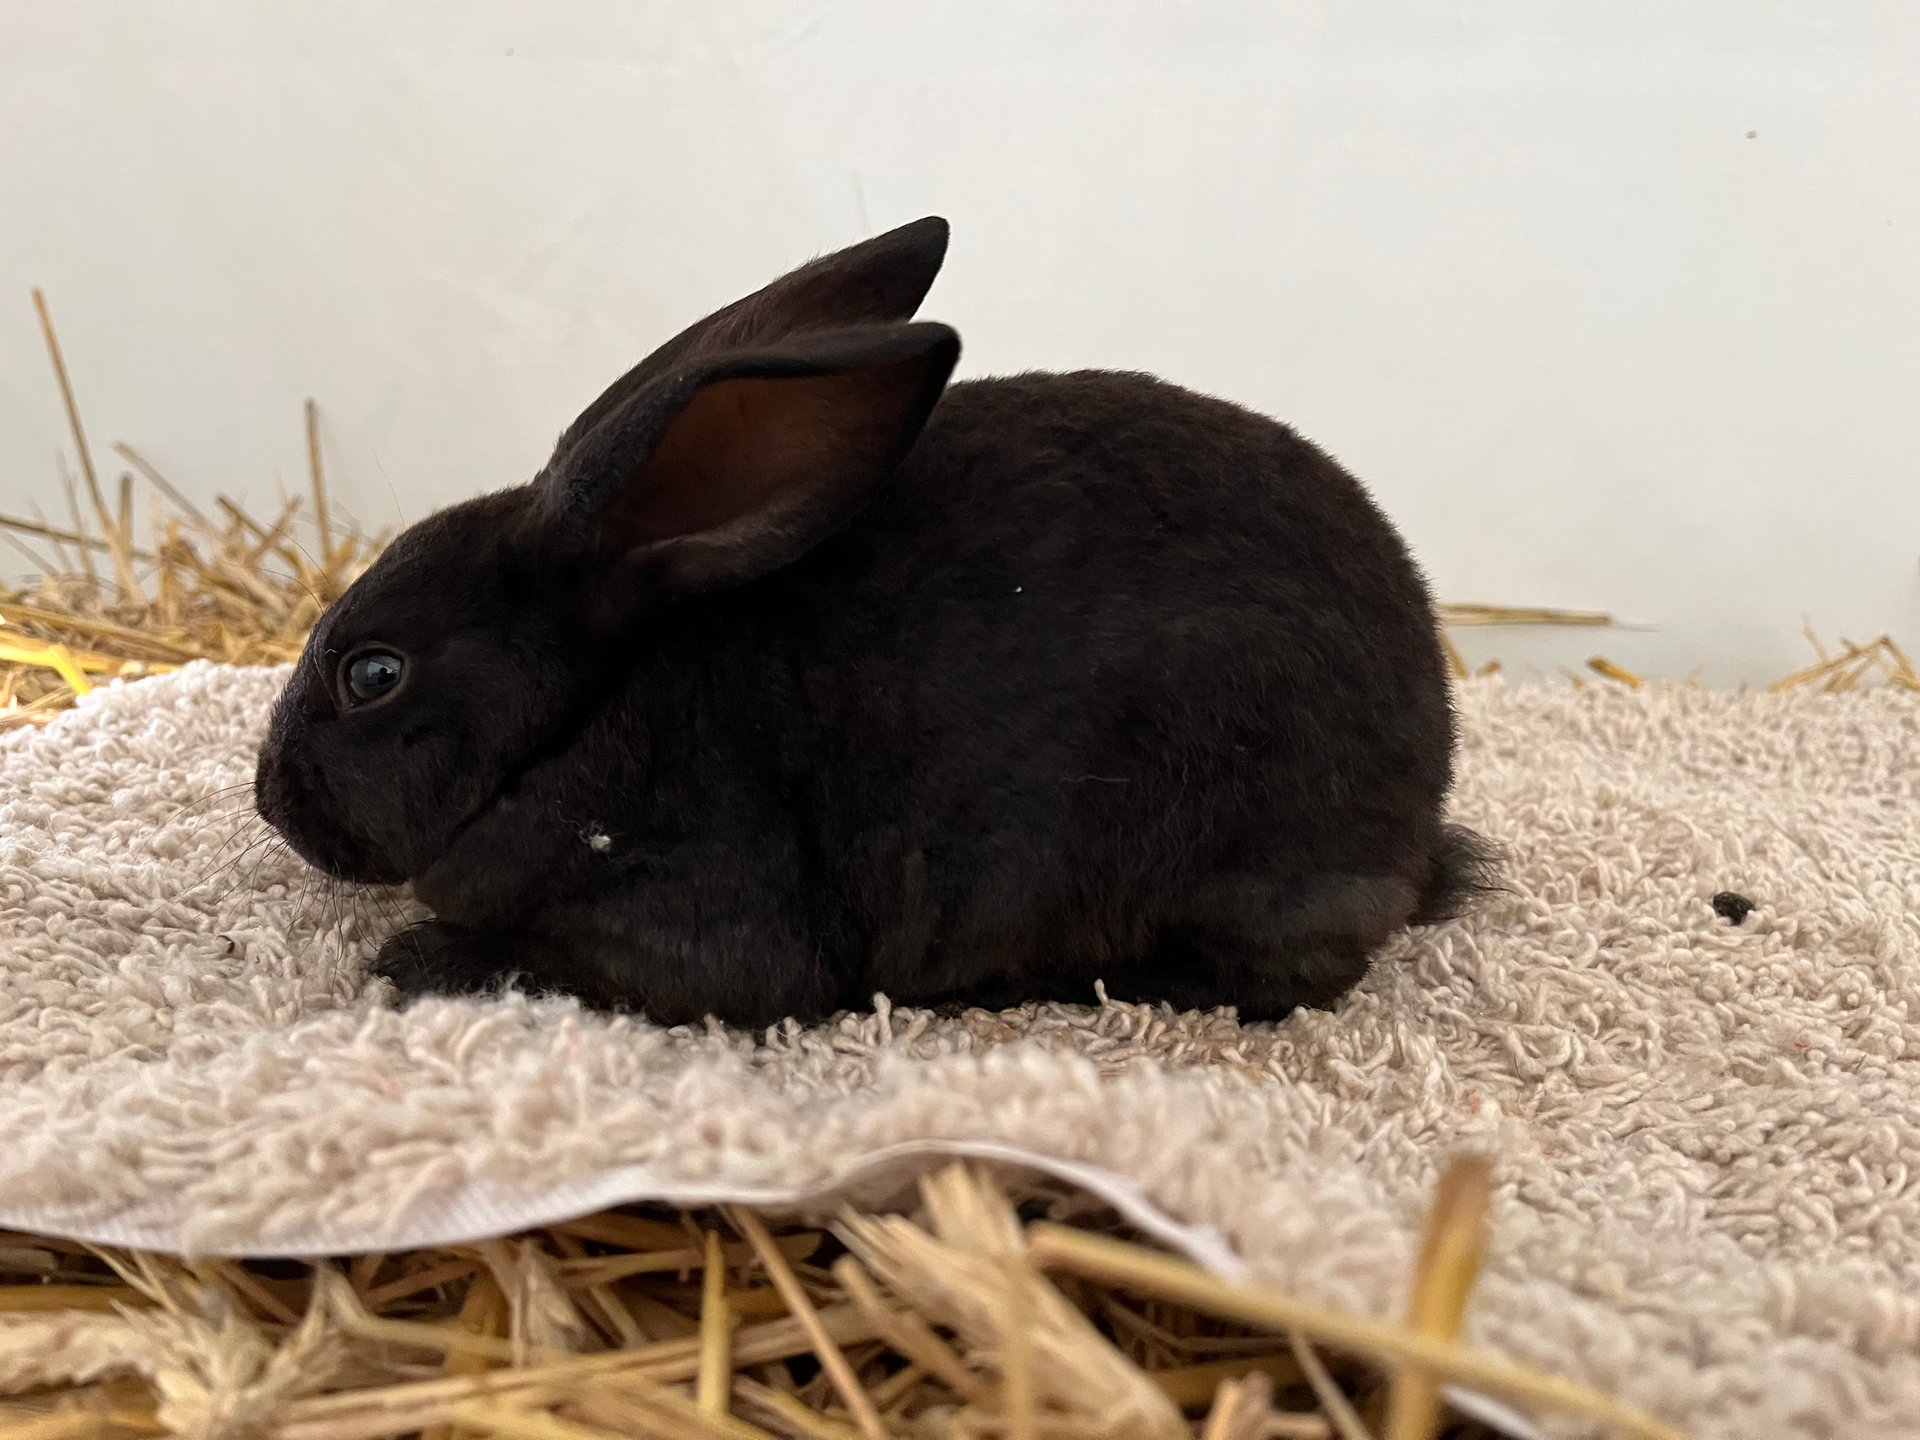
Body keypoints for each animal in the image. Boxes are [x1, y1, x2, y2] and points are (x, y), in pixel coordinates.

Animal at [254, 216, 1493, 1028]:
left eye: (374, 675)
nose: (271, 800)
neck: (580, 720)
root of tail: (1422, 827)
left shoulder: (696, 926)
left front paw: (414, 959)